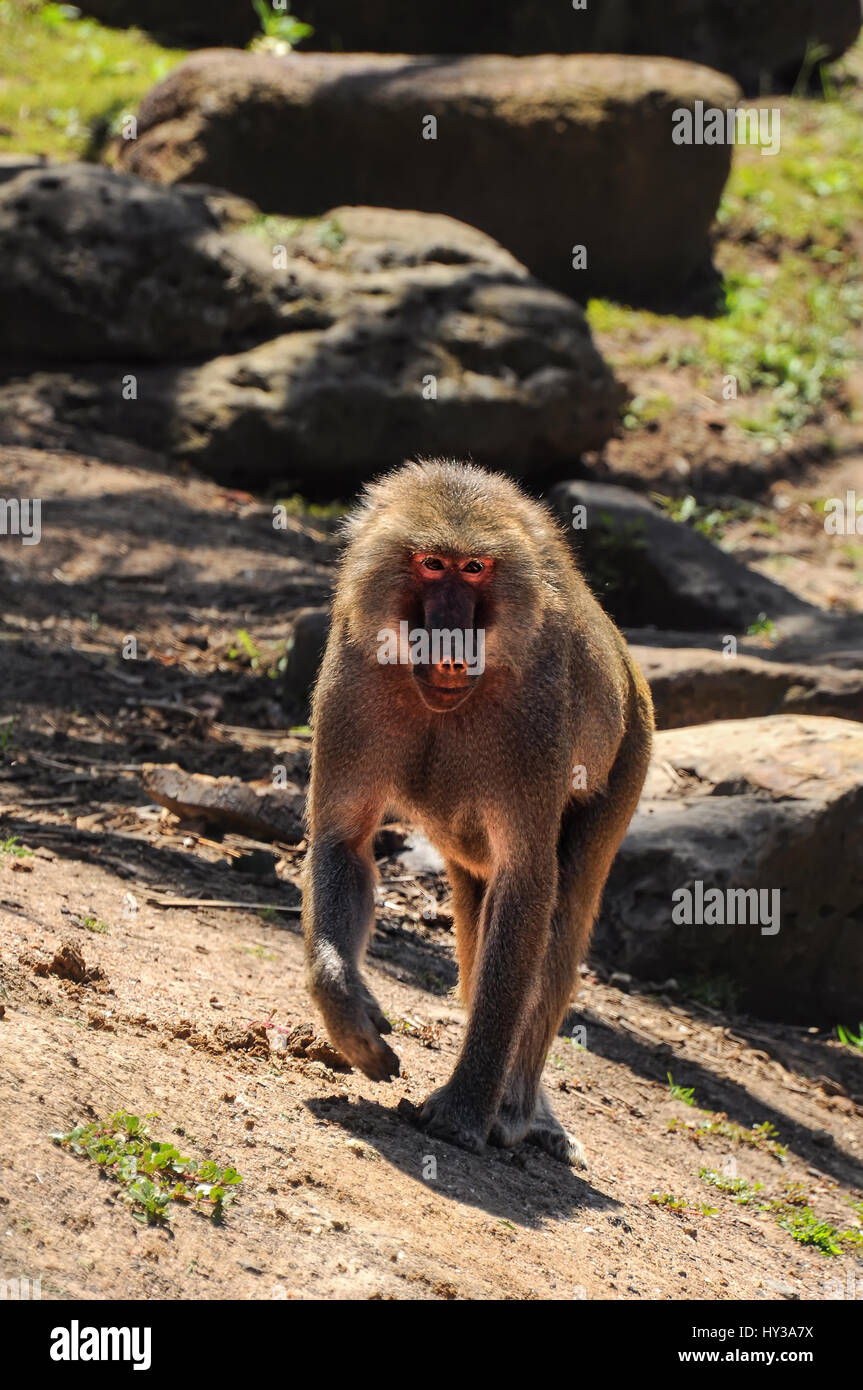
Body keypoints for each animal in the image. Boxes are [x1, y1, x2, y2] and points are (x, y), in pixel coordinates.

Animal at [301, 459, 653, 1166]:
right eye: (432, 564)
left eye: (475, 570)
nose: (451, 636)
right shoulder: (354, 669)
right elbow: (343, 843)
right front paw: (347, 1015)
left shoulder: (536, 712)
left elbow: (529, 884)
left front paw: (464, 1112)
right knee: (474, 910)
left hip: (634, 747)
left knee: (562, 914)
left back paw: (517, 1110)